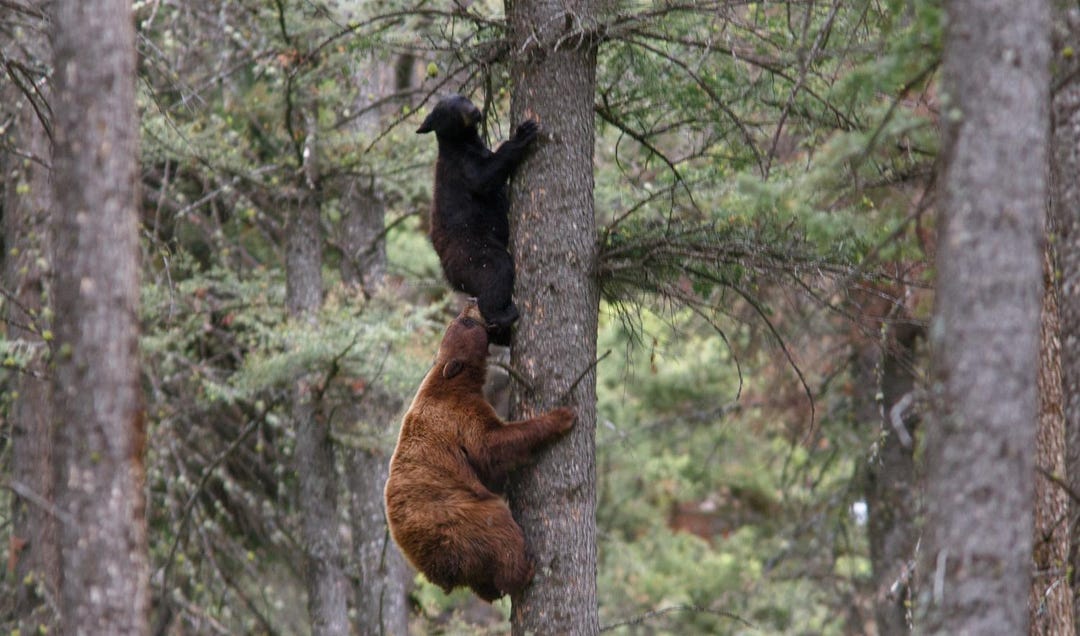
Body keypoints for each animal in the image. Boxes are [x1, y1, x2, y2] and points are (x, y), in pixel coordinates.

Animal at [384, 300, 575, 602]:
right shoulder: (459, 417)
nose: (472, 302)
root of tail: (438, 570)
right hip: (465, 519)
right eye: (466, 323)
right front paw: (563, 416)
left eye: (458, 320)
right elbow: (492, 446)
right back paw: (523, 570)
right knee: (500, 530)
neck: (453, 381)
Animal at [416, 94, 539, 346]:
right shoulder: (462, 168)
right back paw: (501, 315)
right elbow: (485, 177)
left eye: (463, 97)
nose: (474, 111)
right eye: (450, 110)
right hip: (472, 254)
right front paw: (524, 133)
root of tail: (449, 276)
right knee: (497, 269)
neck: (463, 144)